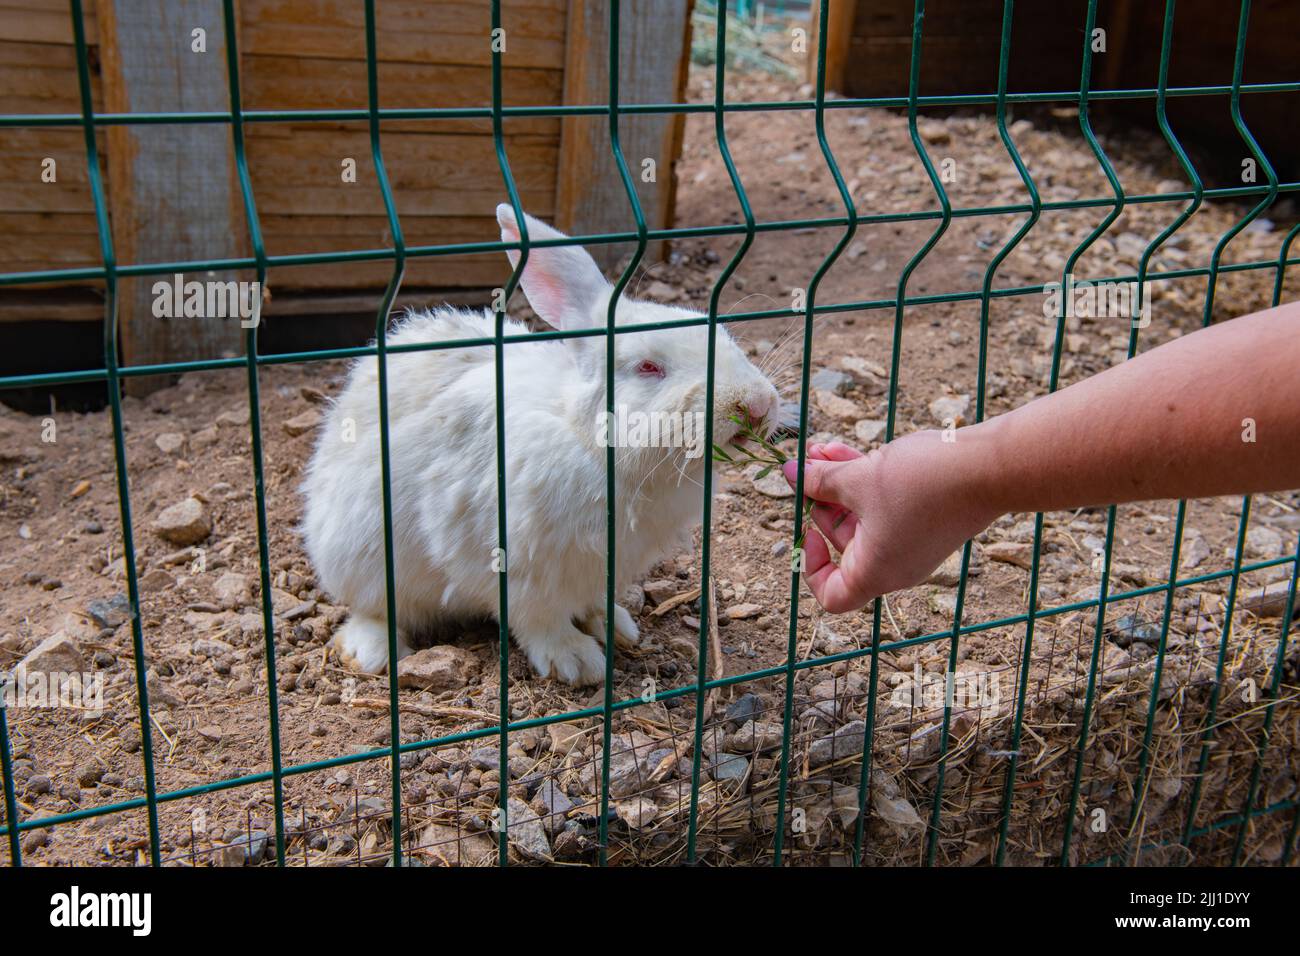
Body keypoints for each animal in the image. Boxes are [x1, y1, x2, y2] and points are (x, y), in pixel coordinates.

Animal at [300, 204, 783, 686]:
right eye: (648, 367)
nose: (756, 405)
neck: (593, 444)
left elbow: (590, 601)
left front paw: (614, 625)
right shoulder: (512, 565)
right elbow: (536, 616)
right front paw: (576, 661)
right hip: (365, 556)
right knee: (373, 609)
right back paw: (372, 652)